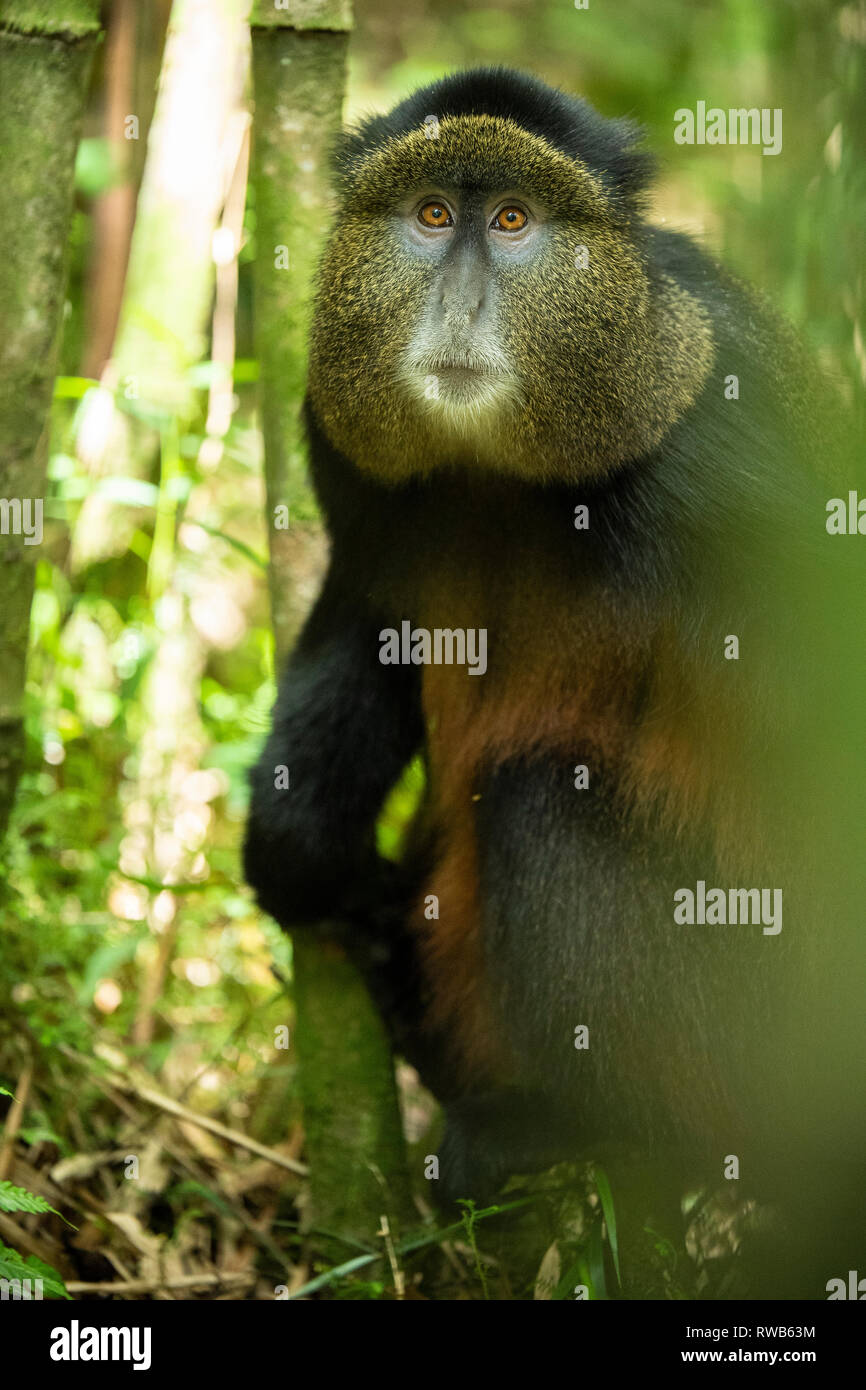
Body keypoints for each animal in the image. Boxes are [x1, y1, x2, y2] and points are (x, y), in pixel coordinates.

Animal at [244, 67, 866, 1297]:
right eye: (433, 213)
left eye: (517, 222)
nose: (459, 303)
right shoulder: (342, 442)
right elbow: (368, 622)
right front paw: (301, 852)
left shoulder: (728, 456)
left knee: (544, 802)